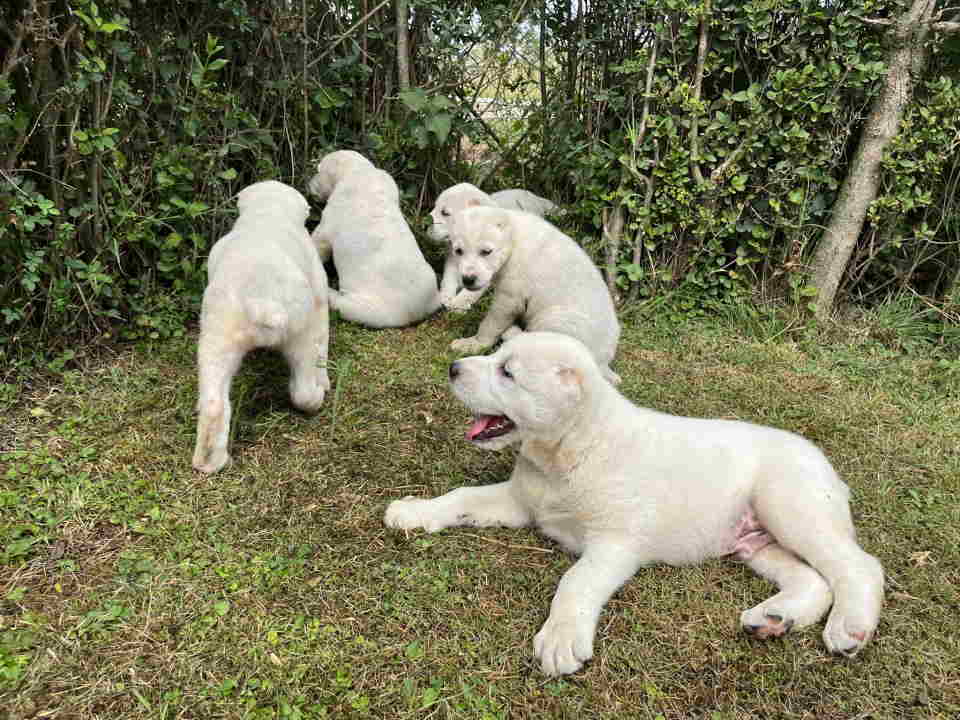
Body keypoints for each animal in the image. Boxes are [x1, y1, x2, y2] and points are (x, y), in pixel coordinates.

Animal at [193, 180, 332, 476]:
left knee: (214, 403)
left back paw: (209, 462)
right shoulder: (319, 297)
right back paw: (315, 397)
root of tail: (261, 301)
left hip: (217, 338)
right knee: (303, 387)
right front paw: (325, 382)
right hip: (299, 334)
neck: (267, 214)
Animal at [310, 150, 440, 328]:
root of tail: (415, 312)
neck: (358, 170)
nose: (309, 184)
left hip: (374, 307)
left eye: (318, 170)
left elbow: (321, 240)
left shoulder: (337, 207)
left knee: (347, 307)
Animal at [382, 330, 884, 676]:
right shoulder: (519, 502)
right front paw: (414, 510)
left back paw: (849, 626)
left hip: (791, 507)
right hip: (757, 541)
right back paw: (774, 619)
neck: (569, 453)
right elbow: (462, 497)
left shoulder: (615, 544)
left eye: (507, 372)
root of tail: (829, 469)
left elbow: (575, 581)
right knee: (813, 579)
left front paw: (561, 637)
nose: (453, 367)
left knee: (858, 566)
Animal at [426, 181, 556, 310]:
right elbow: (449, 277)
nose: (425, 224)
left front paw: (458, 303)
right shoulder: (453, 257)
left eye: (444, 213)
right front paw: (445, 296)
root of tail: (535, 197)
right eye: (434, 207)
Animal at [444, 205, 620, 386]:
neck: (514, 237)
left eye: (486, 251)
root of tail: (603, 363)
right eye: (458, 251)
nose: (468, 279)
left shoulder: (513, 287)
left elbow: (495, 317)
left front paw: (471, 343)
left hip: (561, 319)